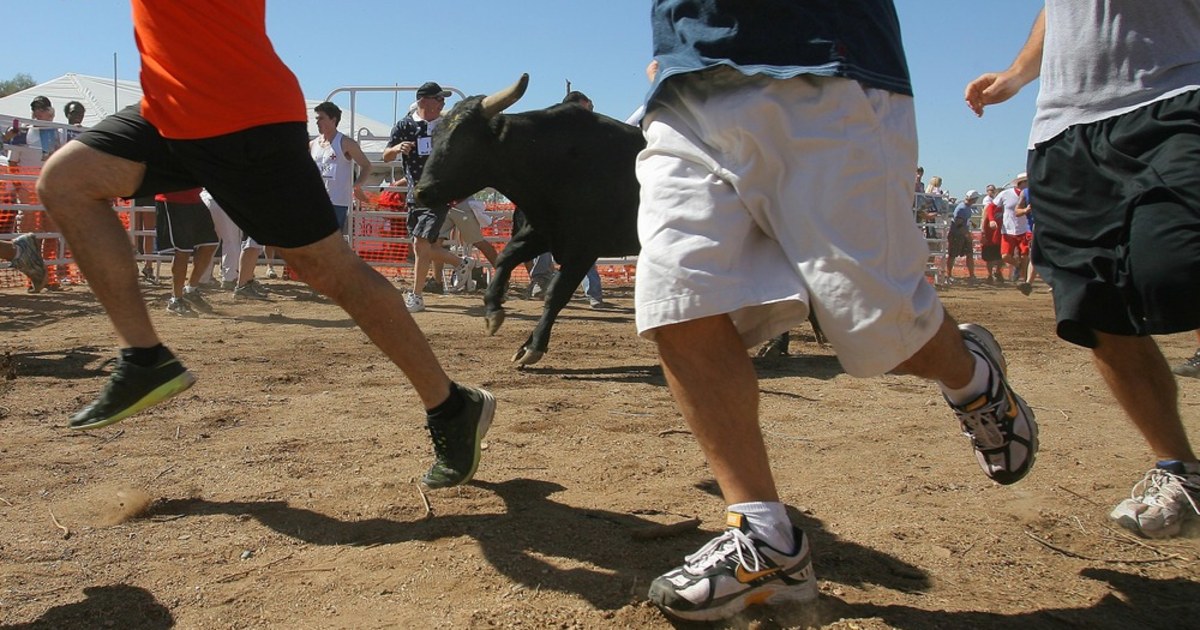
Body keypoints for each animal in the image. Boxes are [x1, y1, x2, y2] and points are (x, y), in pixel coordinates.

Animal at [414, 74, 644, 366]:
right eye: (435, 135)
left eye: (464, 141)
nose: (422, 191)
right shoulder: (540, 231)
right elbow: (505, 258)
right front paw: (494, 311)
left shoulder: (583, 249)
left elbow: (557, 293)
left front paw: (533, 346)